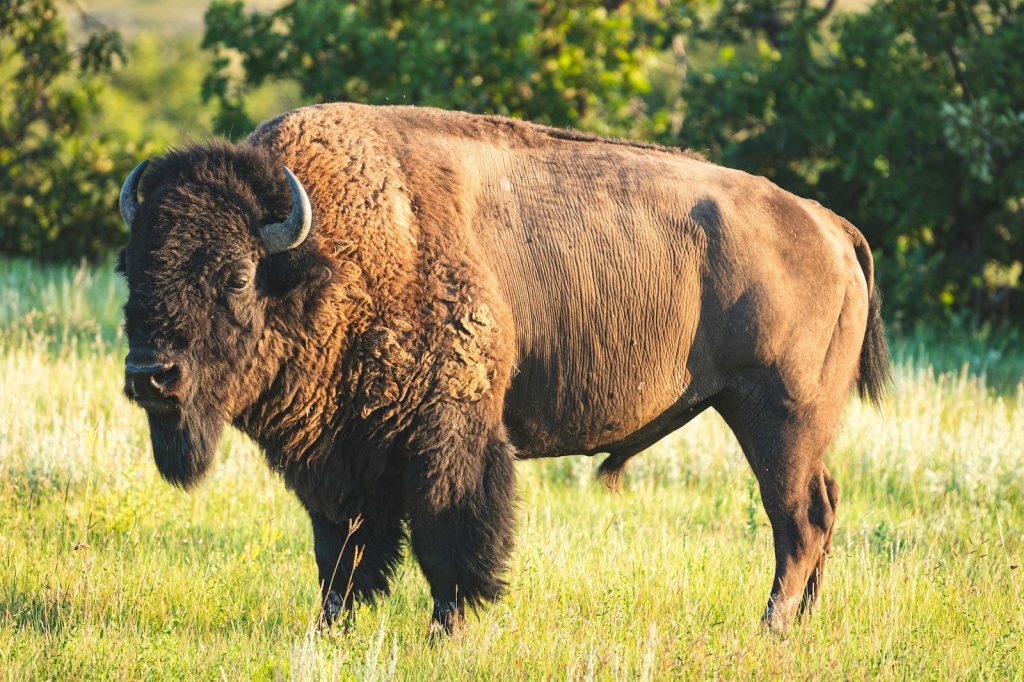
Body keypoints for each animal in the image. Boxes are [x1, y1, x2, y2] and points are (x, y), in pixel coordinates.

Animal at [117, 103, 889, 634]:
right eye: (133, 269)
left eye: (234, 277)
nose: (151, 375)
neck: (327, 256)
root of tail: (828, 224)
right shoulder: (340, 455)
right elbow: (340, 548)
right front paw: (330, 628)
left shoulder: (446, 434)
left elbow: (448, 534)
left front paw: (446, 629)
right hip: (792, 426)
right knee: (823, 507)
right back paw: (802, 621)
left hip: (775, 414)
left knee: (798, 518)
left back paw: (771, 626)